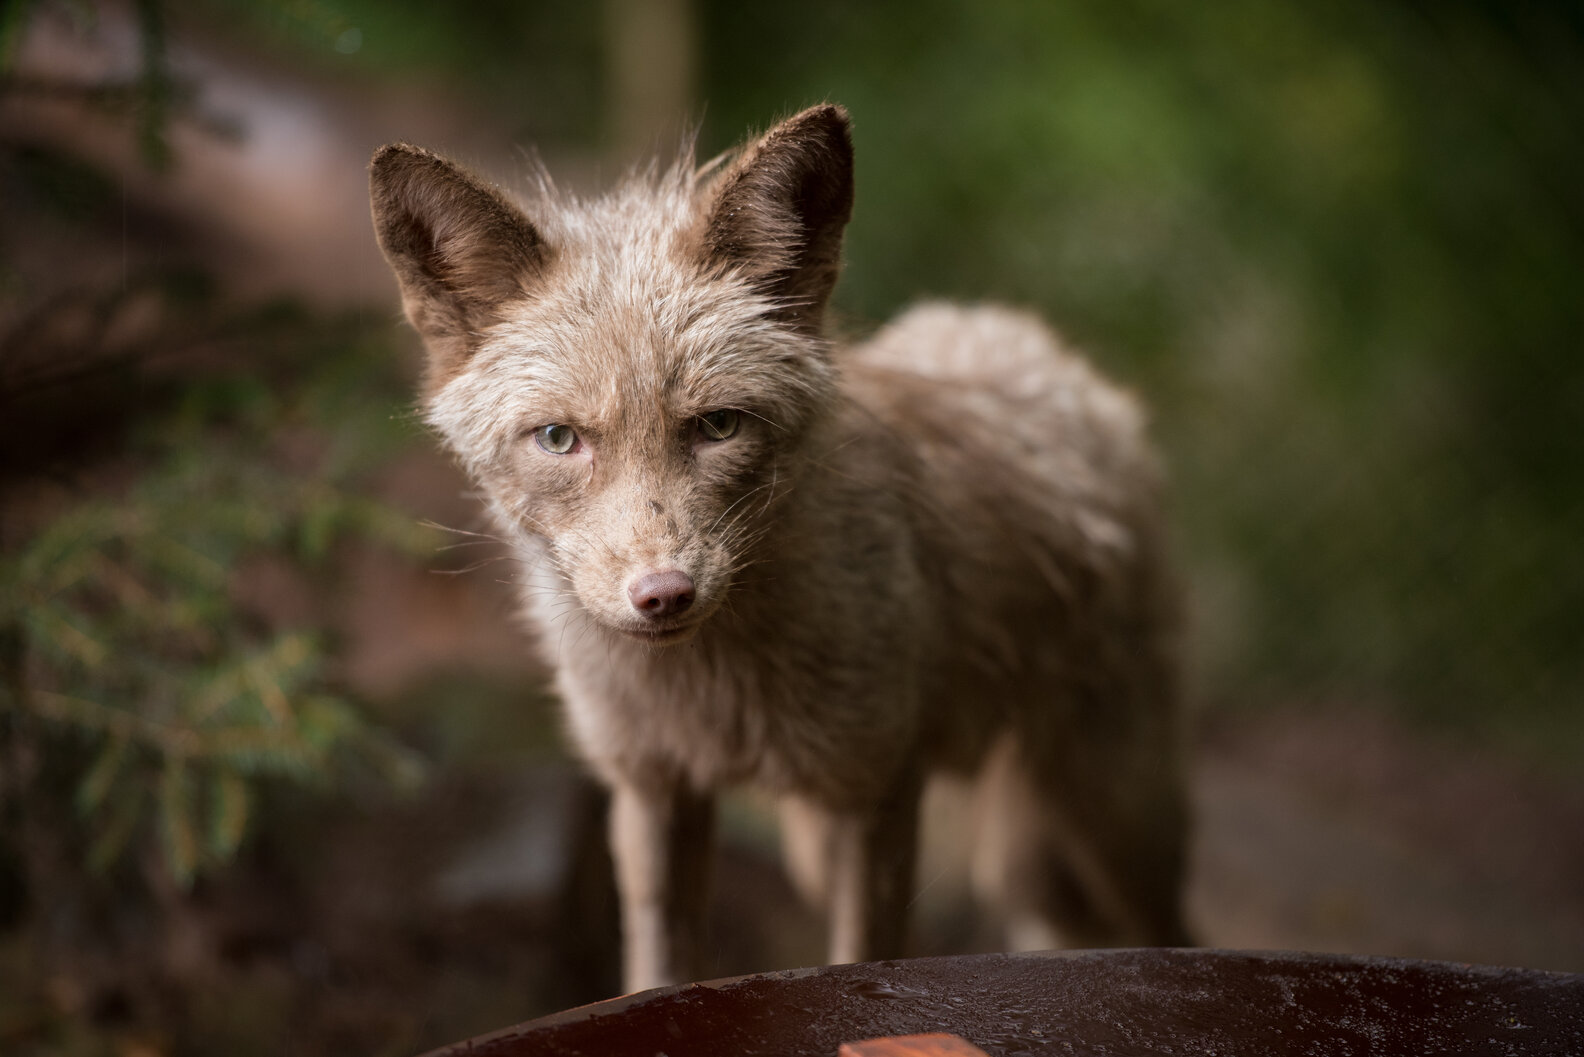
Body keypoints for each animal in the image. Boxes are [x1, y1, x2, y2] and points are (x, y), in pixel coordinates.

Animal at [368, 104, 1191, 994]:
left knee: (1170, 930)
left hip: (1112, 814)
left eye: (718, 426)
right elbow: (656, 969)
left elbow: (862, 960)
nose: (664, 593)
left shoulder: (878, 791)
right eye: (559, 439)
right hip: (827, 844)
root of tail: (1028, 342)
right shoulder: (653, 790)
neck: (715, 701)